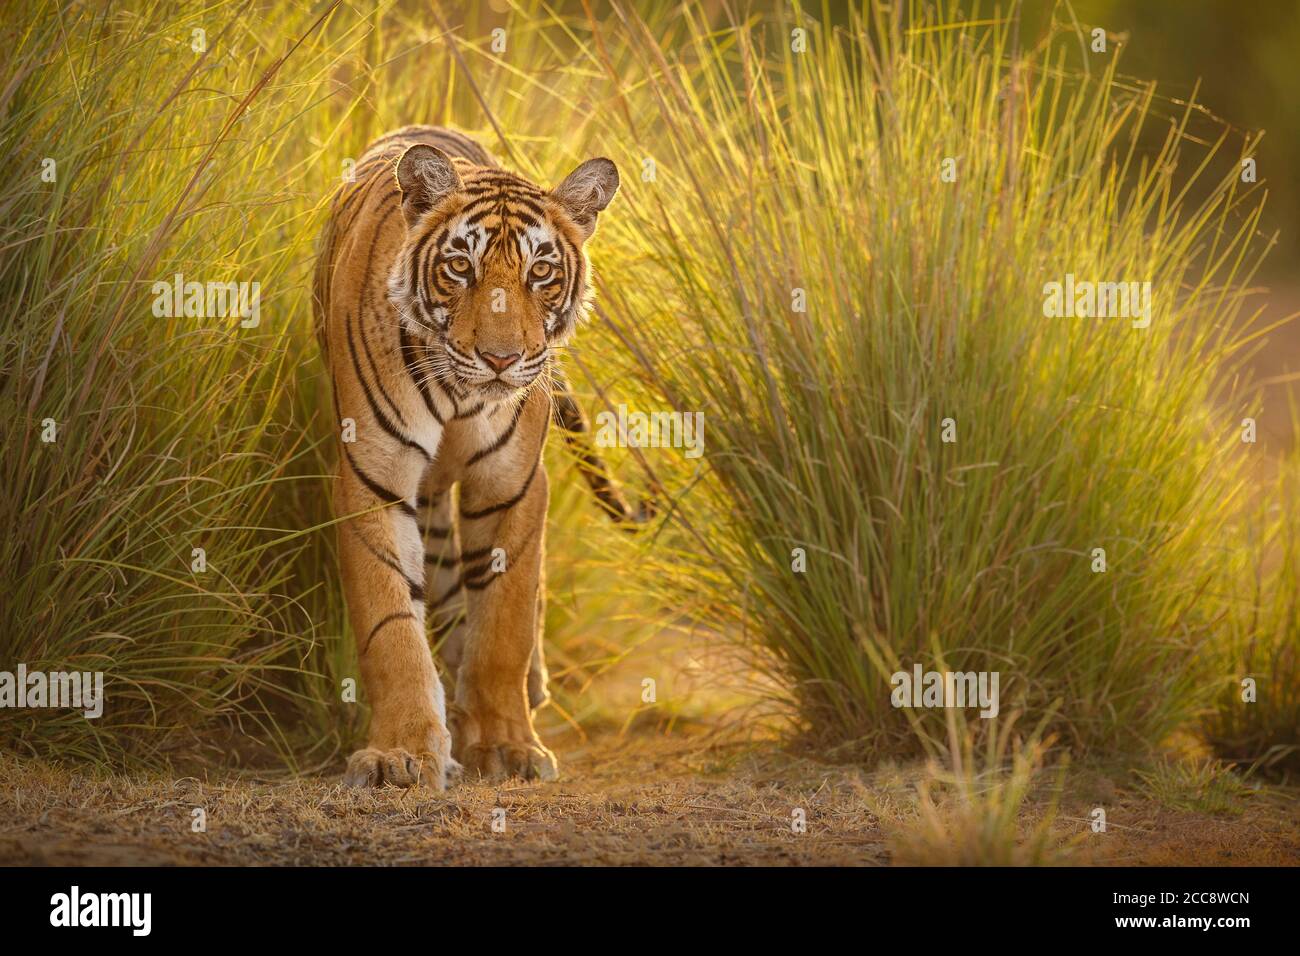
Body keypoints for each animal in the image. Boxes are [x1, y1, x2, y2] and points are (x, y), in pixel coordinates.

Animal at [312, 125, 641, 789]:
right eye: (460, 267)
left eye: (541, 272)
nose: (500, 359)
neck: (459, 395)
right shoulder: (372, 476)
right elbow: (391, 625)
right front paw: (402, 752)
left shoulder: (511, 480)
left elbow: (505, 620)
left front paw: (507, 745)